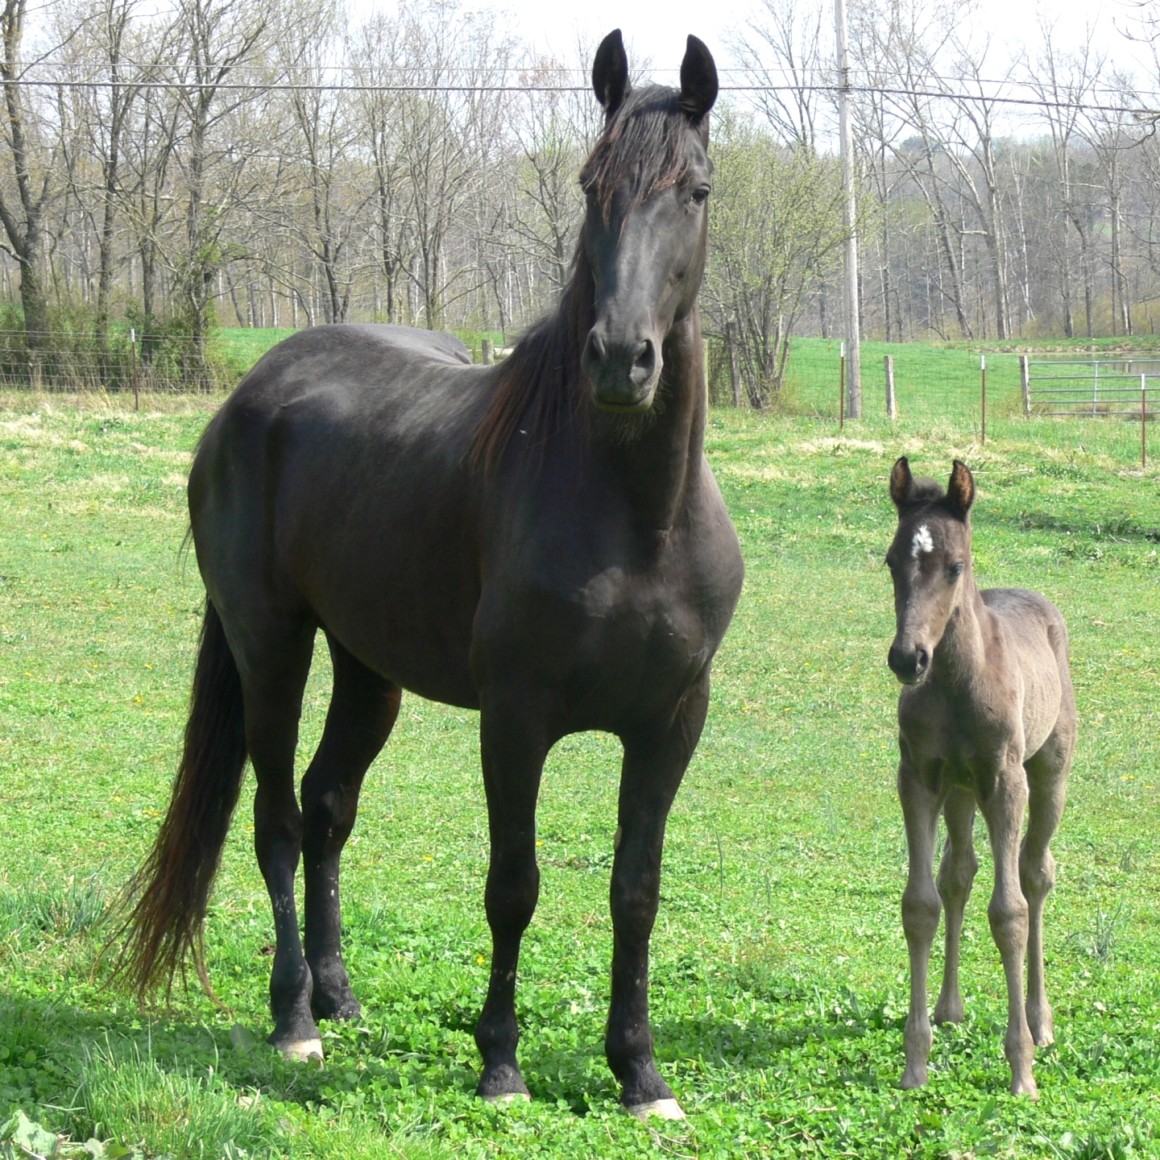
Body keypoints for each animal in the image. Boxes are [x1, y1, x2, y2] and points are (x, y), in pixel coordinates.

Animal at [112, 30, 743, 1121]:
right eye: (591, 186)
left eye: (695, 189)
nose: (621, 359)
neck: (637, 516)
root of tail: (249, 396)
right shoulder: (516, 717)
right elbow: (513, 884)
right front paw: (500, 1064)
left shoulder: (671, 719)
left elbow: (636, 889)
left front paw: (640, 1072)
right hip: (272, 650)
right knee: (279, 821)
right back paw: (296, 1019)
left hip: (369, 671)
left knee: (327, 808)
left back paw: (339, 992)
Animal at [885, 458, 1075, 1097]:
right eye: (891, 562)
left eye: (955, 566)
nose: (907, 658)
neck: (955, 684)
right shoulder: (918, 779)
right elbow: (920, 904)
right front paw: (916, 1061)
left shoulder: (1005, 782)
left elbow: (1009, 912)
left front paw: (1021, 1069)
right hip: (960, 792)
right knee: (958, 875)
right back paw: (949, 1009)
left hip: (1048, 774)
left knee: (1036, 874)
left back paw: (1041, 1021)